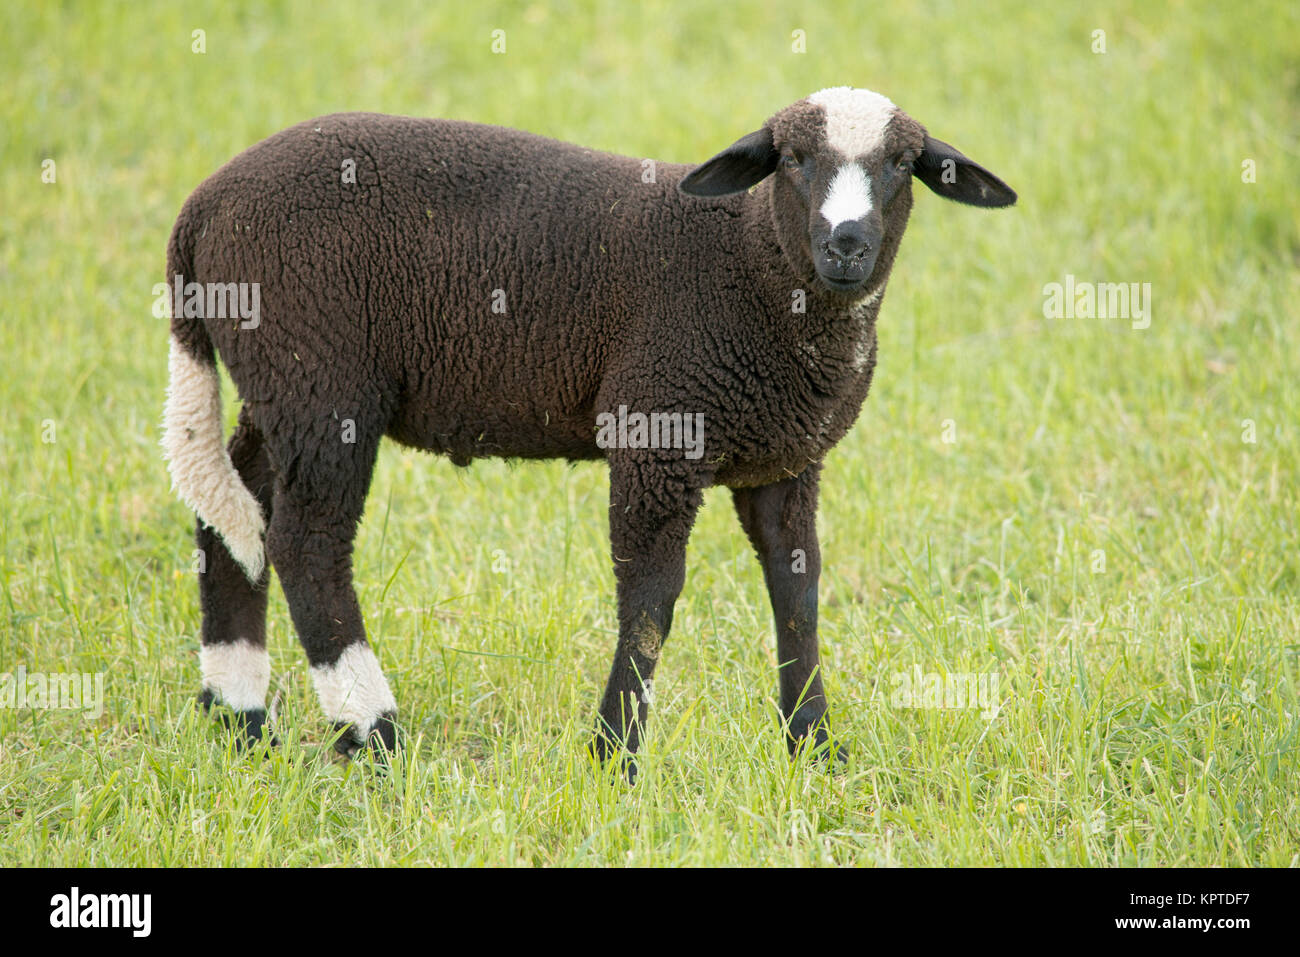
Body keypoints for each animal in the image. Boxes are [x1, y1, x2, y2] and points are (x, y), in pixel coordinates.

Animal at [163, 86, 1015, 773]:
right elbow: (650, 598)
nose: (846, 243)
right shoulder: (656, 431)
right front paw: (615, 754)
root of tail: (201, 208)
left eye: (902, 163)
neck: (749, 263)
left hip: (279, 386)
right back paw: (374, 732)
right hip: (323, 381)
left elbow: (797, 587)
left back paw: (238, 716)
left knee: (232, 515)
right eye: (794, 159)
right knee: (306, 545)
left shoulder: (785, 460)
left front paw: (814, 747)